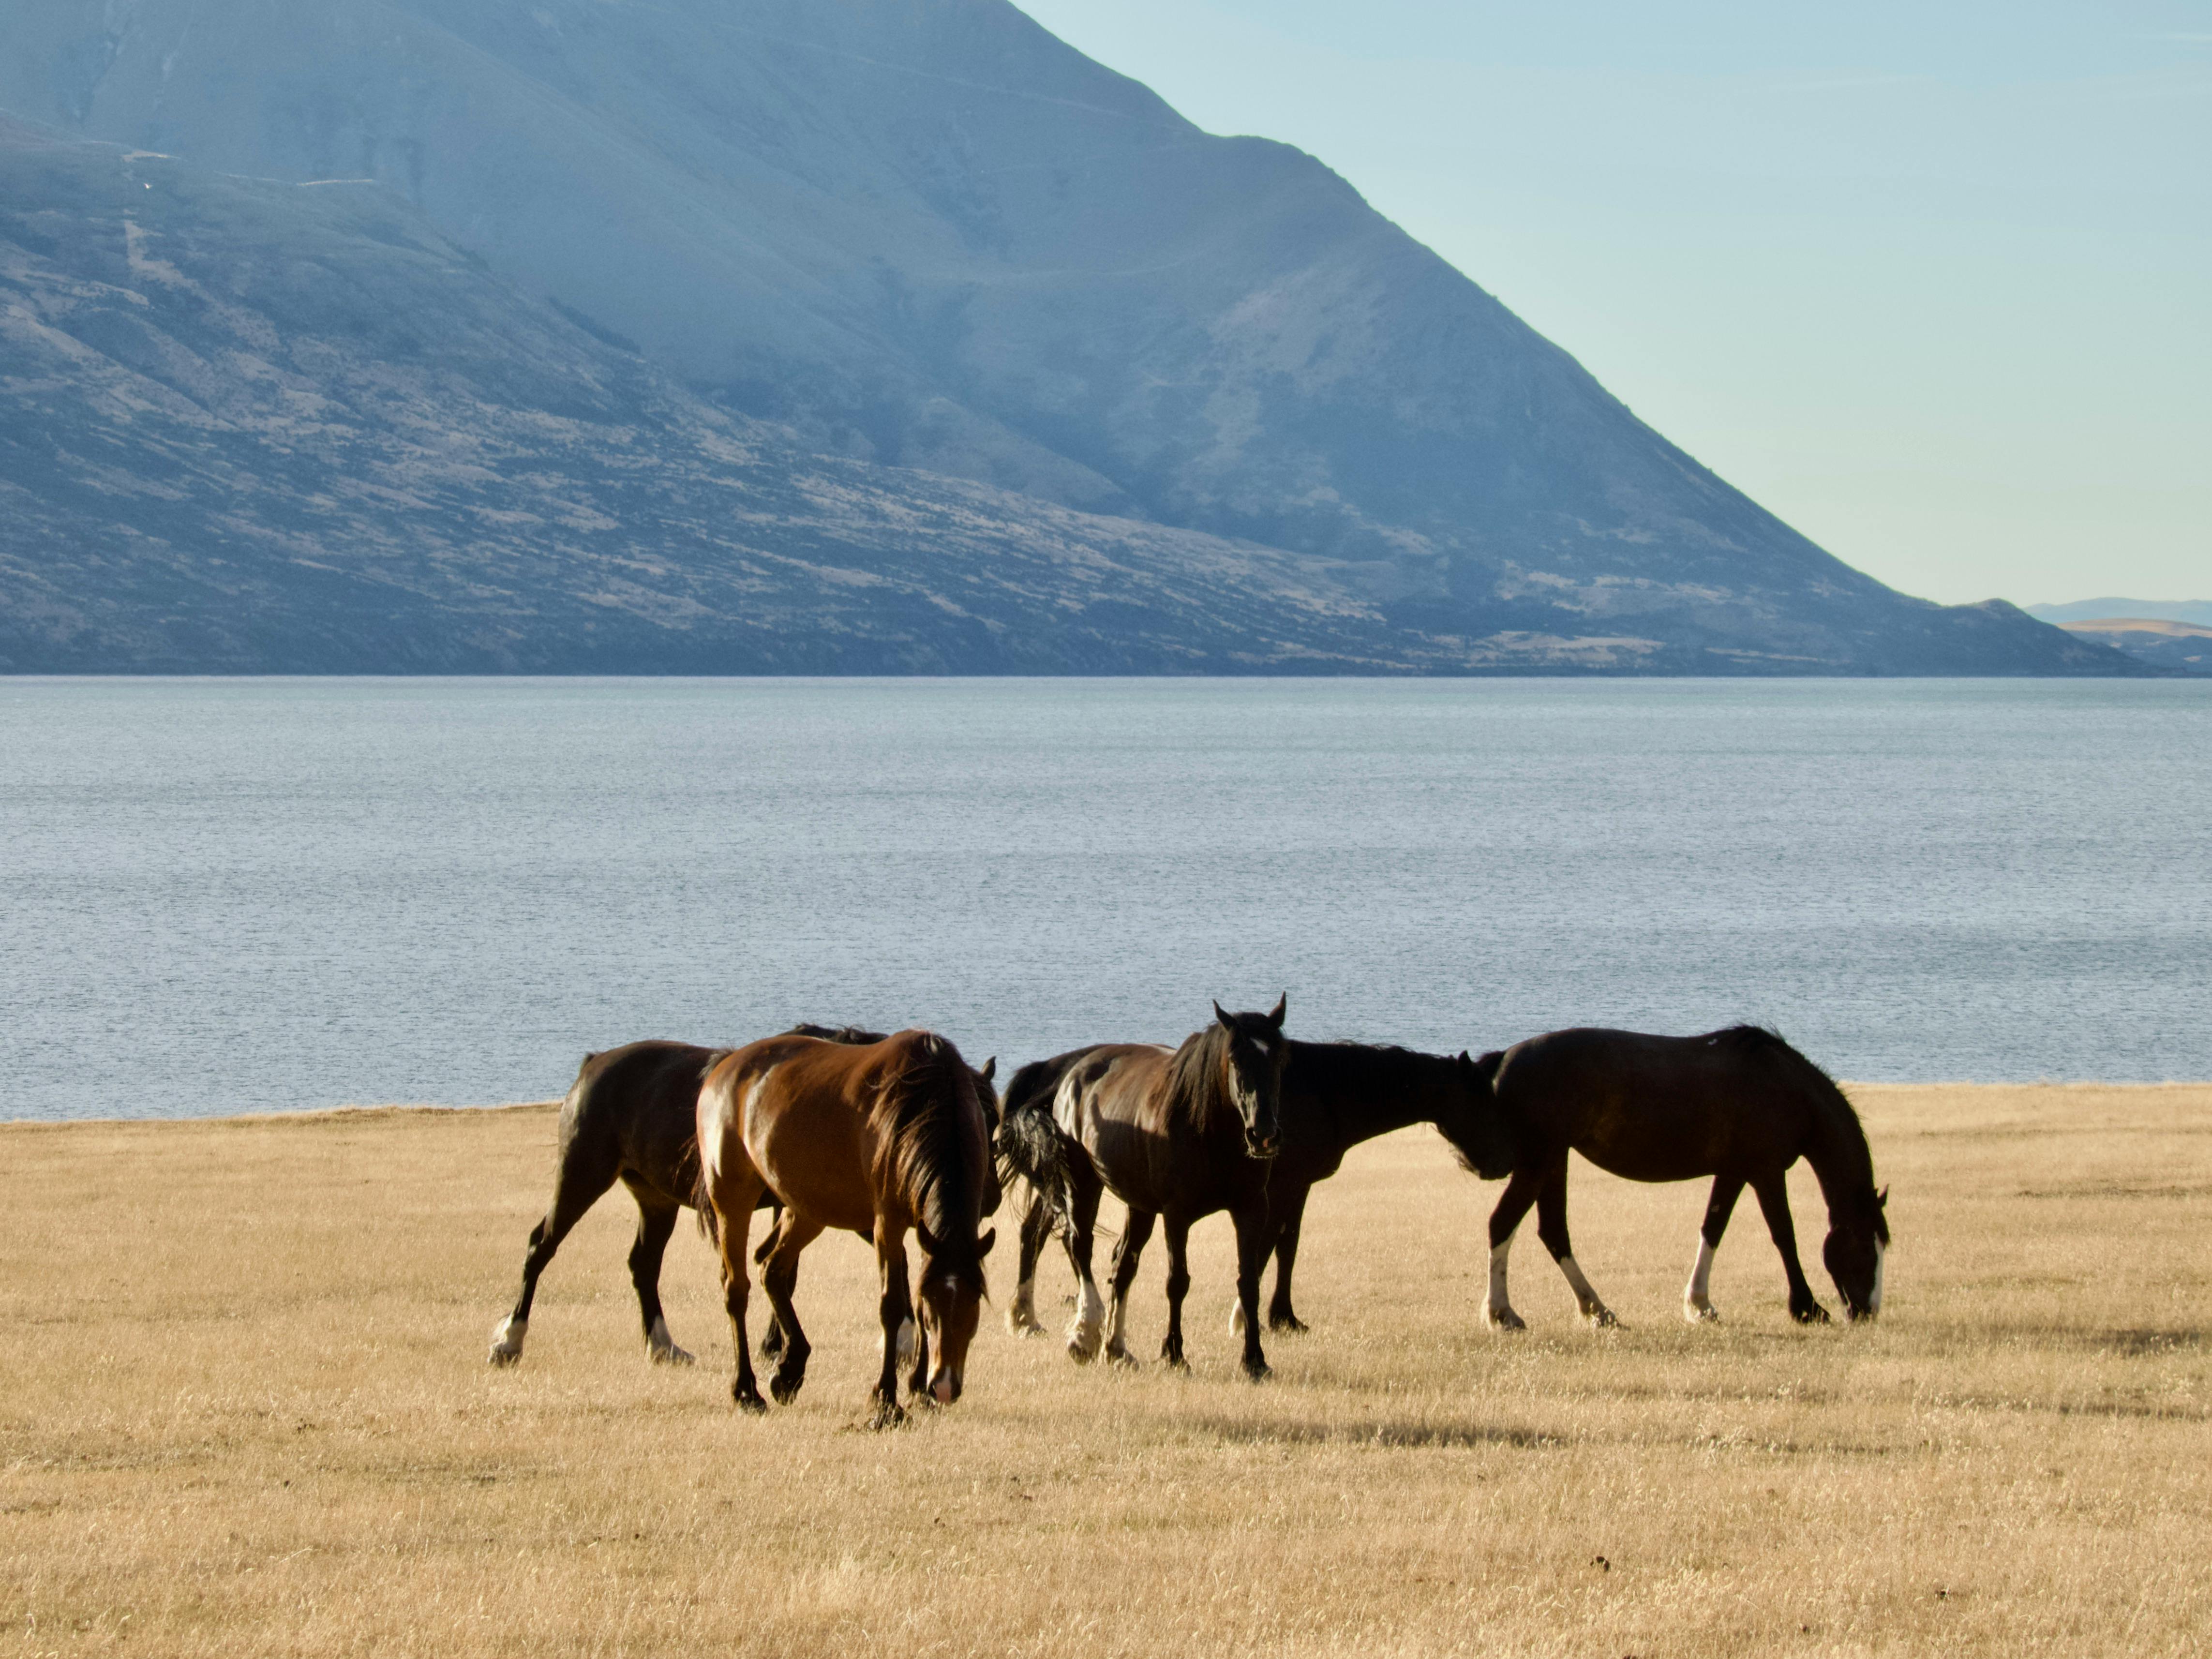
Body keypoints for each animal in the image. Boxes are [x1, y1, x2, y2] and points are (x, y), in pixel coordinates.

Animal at [485, 1025, 932, 1369]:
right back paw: (510, 1339)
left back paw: (662, 1344)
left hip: (656, 1199)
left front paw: (777, 1343)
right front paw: (902, 1339)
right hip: (582, 1175)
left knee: (643, 1265)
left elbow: (785, 1269)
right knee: (540, 1247)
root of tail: (594, 1063)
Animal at [695, 1028, 998, 1427]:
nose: (945, 1386)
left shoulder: (928, 1234)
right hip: (732, 1199)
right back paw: (747, 1390)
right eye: (936, 1315)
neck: (928, 1099)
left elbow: (915, 1293)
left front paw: (917, 1387)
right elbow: (893, 1304)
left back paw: (790, 1369)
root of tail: (726, 1065)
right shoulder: (888, 1222)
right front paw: (885, 1400)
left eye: (973, 1307)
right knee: (737, 1290)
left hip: (806, 1209)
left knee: (772, 1270)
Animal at [1001, 1036, 1517, 1341]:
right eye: (1481, 1100)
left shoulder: (1295, 1186)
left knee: (1038, 1234)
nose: (1499, 1164)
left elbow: (1287, 1245)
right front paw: (1250, 1317)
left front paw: (1283, 1316)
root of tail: (1059, 1070)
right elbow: (1272, 1245)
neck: (1321, 1090)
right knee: (1061, 1237)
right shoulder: (1282, 1186)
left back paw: (1032, 1315)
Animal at [1013, 998, 1290, 1379]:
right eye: (1235, 1059)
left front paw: (1255, 1360)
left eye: (1278, 1057)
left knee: (1122, 1265)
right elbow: (1178, 1282)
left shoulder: (1251, 1208)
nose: (1263, 1134)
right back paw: (1085, 1334)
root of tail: (1069, 1076)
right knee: (1080, 1246)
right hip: (1082, 1184)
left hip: (1139, 1205)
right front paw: (1174, 1353)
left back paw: (1116, 1348)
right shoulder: (1177, 1215)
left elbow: (1248, 1281)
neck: (1207, 1129)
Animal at [1471, 1025, 1888, 1329]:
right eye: (1867, 1248)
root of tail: (1503, 1060)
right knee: (1503, 1223)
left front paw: (1700, 1304)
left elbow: (1713, 1229)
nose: (1867, 1311)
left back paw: (1597, 1310)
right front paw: (1807, 1307)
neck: (1785, 1085)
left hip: (1554, 1161)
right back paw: (1502, 1314)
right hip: (1539, 1162)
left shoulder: (1734, 1172)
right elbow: (1784, 1235)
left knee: (1554, 1233)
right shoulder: (1765, 1172)